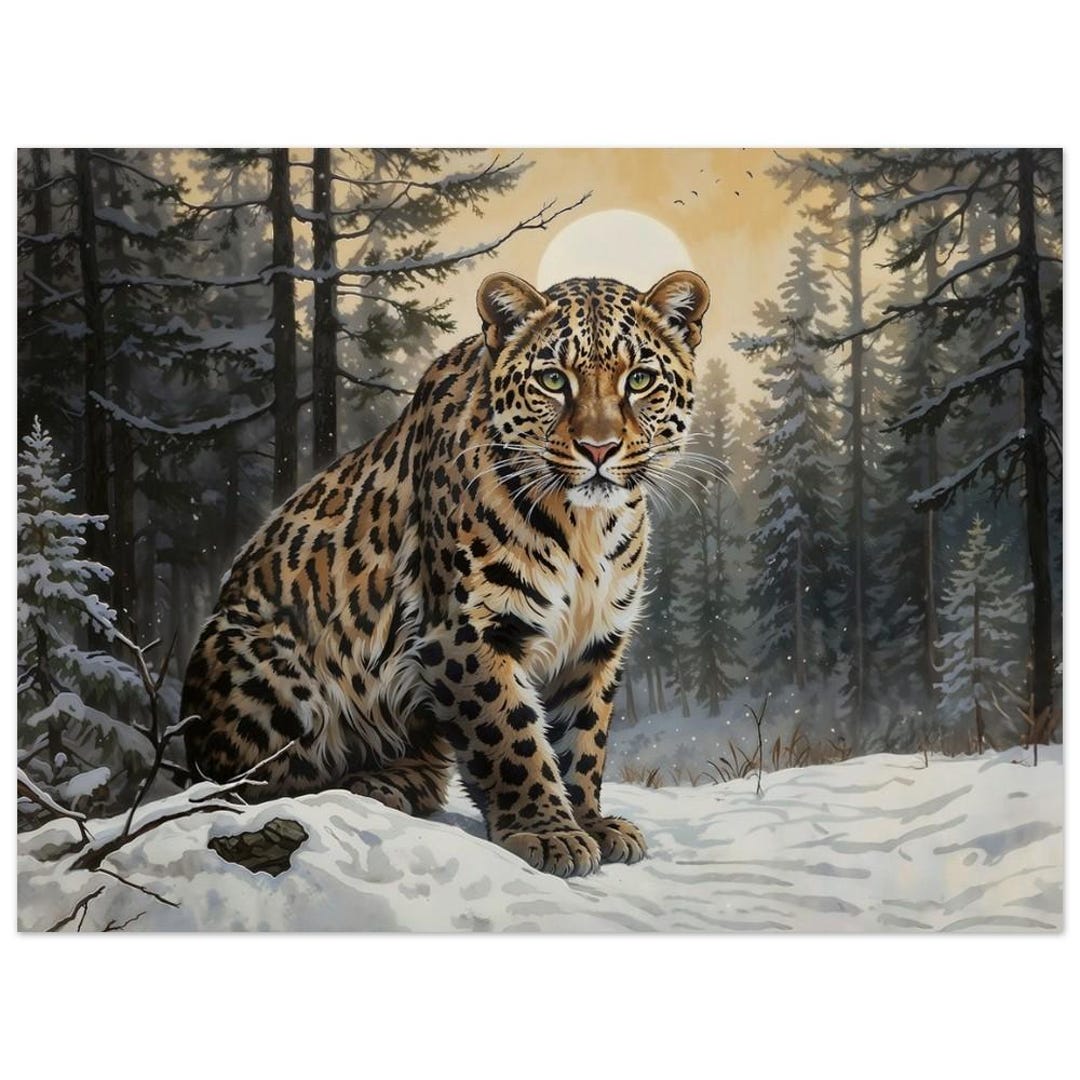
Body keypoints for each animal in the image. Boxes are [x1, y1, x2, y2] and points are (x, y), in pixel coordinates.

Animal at [181, 269, 710, 877]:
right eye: (554, 379)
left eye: (640, 379)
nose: (598, 449)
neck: (585, 527)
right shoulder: (463, 631)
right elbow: (511, 737)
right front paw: (547, 832)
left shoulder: (596, 641)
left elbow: (583, 737)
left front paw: (590, 821)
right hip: (262, 662)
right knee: (244, 784)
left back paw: (389, 781)